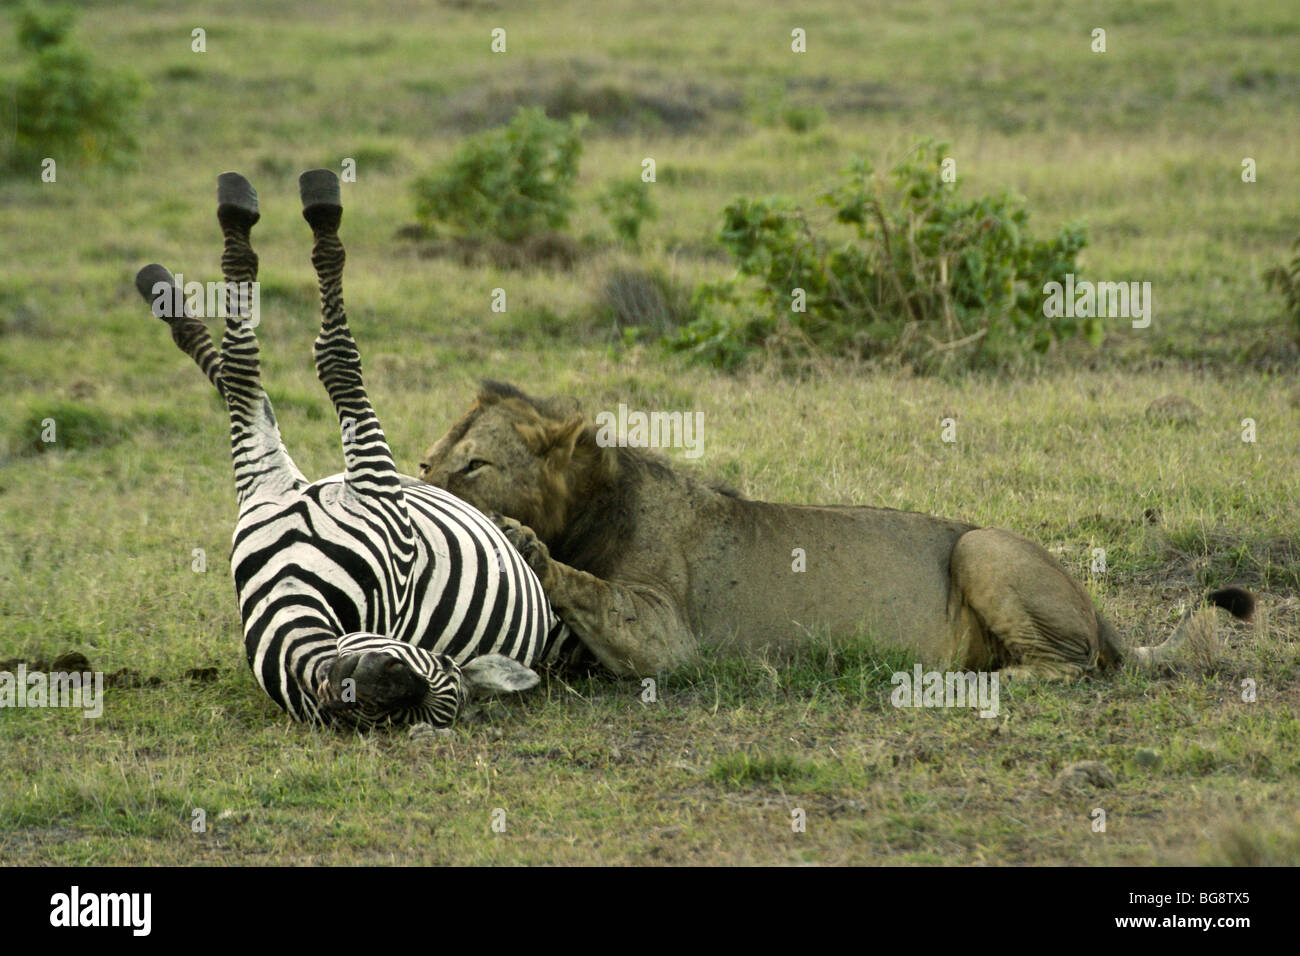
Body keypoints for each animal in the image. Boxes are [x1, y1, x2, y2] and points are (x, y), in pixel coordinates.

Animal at [132, 169, 579, 729]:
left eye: (431, 677)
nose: (377, 675)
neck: (294, 592)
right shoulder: (278, 488)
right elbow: (259, 373)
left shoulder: (370, 497)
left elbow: (318, 361)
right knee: (251, 379)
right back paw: (179, 279)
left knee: (288, 369)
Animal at [418, 381, 1253, 680]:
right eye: (430, 456)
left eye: (472, 465)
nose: (416, 480)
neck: (590, 504)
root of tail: (1104, 614)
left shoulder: (671, 641)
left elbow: (591, 589)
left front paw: (524, 543)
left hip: (982, 545)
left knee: (1074, 666)